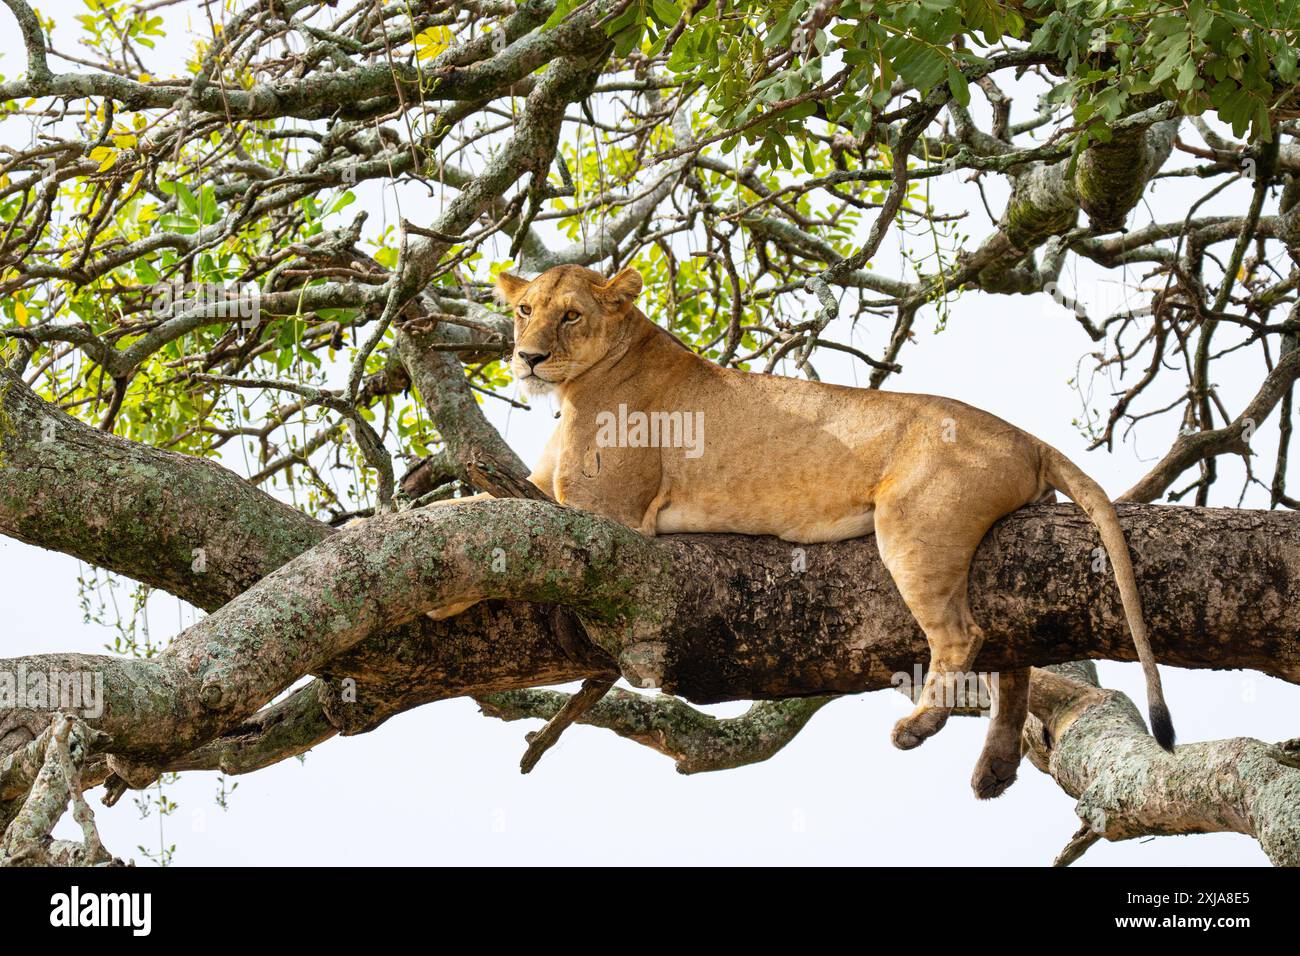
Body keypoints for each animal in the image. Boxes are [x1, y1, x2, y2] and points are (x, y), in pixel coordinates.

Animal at [478, 263, 1173, 798]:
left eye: (570, 316)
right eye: (524, 310)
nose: (528, 358)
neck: (578, 387)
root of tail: (1025, 436)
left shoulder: (608, 511)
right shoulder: (539, 486)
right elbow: (472, 499)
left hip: (913, 525)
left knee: (965, 636)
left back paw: (921, 725)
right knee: (1016, 654)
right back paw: (994, 768)